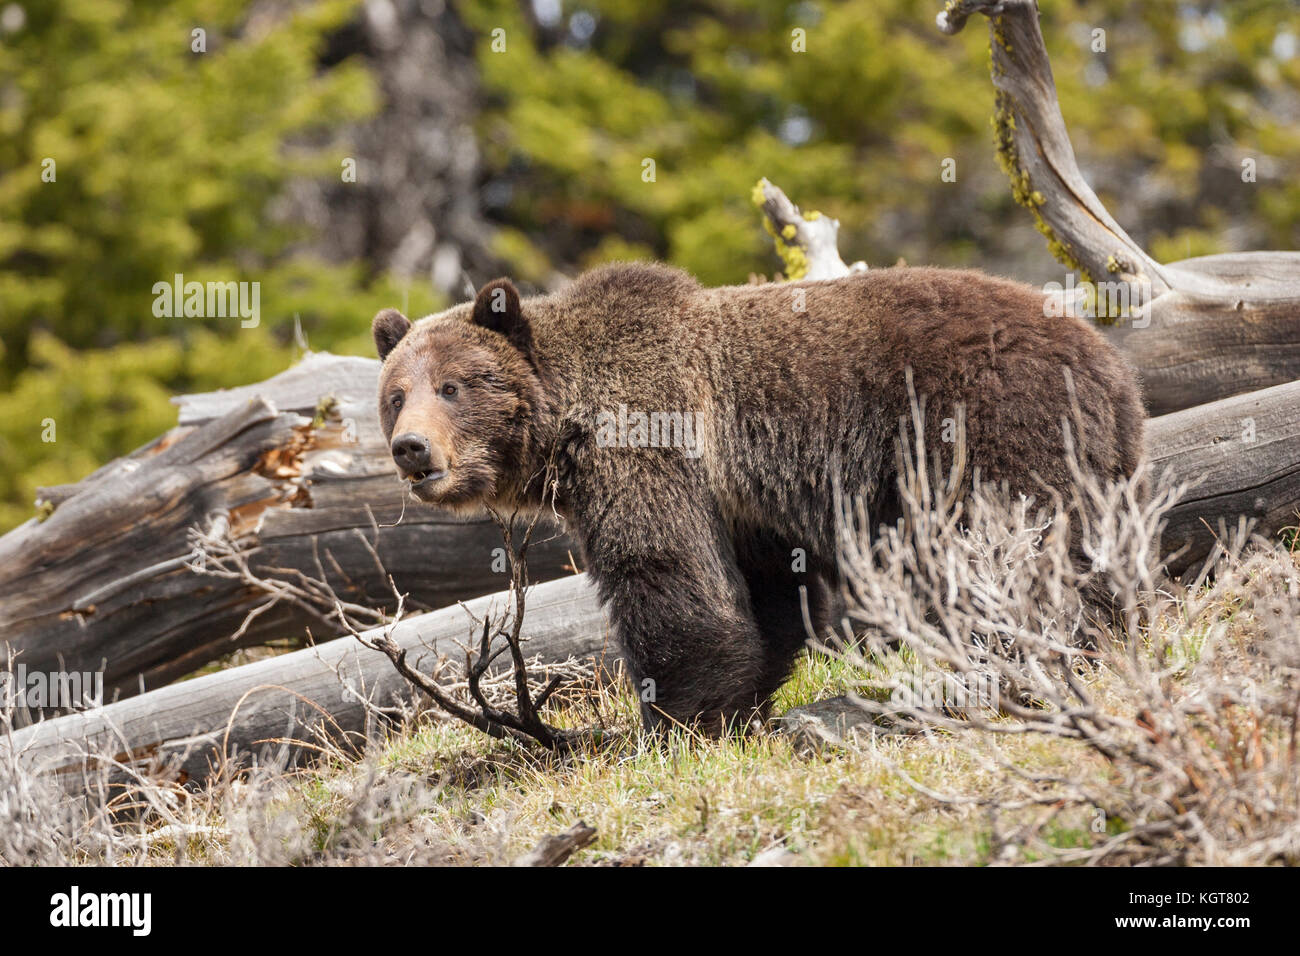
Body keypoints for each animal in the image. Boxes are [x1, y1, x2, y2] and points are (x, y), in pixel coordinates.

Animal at [371, 262, 1144, 734]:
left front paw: (675, 723)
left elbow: (668, 578)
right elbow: (765, 598)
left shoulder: (650, 444)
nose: (411, 448)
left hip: (986, 424)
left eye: (453, 385)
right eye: (396, 394)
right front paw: (740, 704)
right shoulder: (747, 507)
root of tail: (1109, 365)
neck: (567, 422)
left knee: (1010, 550)